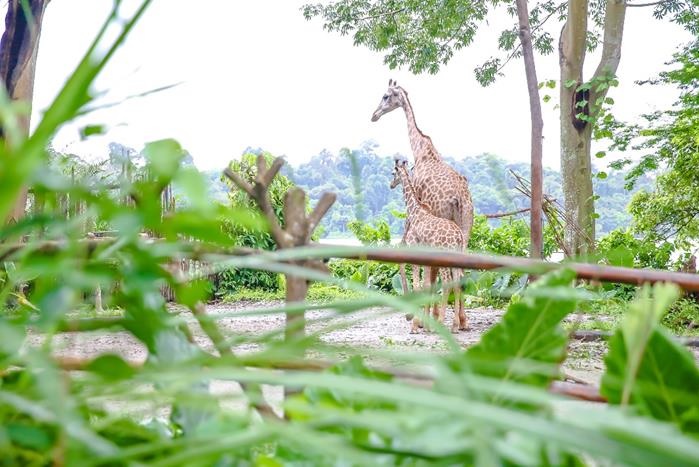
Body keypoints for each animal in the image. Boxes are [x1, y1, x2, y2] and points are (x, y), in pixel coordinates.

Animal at [391, 158, 467, 333]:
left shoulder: (414, 248)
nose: (390, 184)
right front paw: (424, 324)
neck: (415, 211)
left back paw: (441, 323)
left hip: (445, 257)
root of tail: (459, 237)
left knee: (446, 284)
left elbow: (418, 286)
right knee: (457, 283)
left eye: (392, 173)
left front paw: (415, 325)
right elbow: (426, 285)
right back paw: (455, 325)